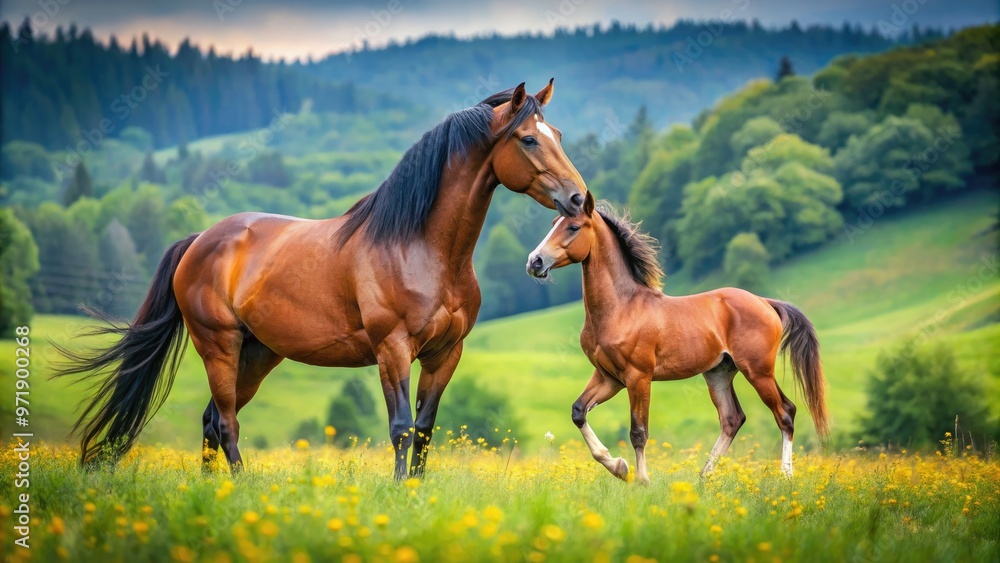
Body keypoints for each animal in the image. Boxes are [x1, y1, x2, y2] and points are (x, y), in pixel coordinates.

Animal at [55, 80, 588, 480]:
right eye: (528, 139)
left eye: (559, 133)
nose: (580, 199)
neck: (421, 248)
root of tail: (200, 240)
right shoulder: (392, 348)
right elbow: (400, 427)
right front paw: (399, 494)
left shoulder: (445, 354)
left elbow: (424, 428)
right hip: (219, 347)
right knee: (225, 423)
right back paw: (239, 487)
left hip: (257, 354)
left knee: (210, 421)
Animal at [525, 192, 829, 482]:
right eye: (553, 223)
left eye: (573, 227)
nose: (534, 262)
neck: (621, 307)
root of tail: (765, 302)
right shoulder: (609, 377)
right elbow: (579, 412)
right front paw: (619, 467)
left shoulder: (638, 377)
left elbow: (638, 432)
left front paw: (641, 481)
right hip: (719, 373)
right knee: (732, 419)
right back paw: (704, 477)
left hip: (758, 371)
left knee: (785, 413)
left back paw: (785, 476)